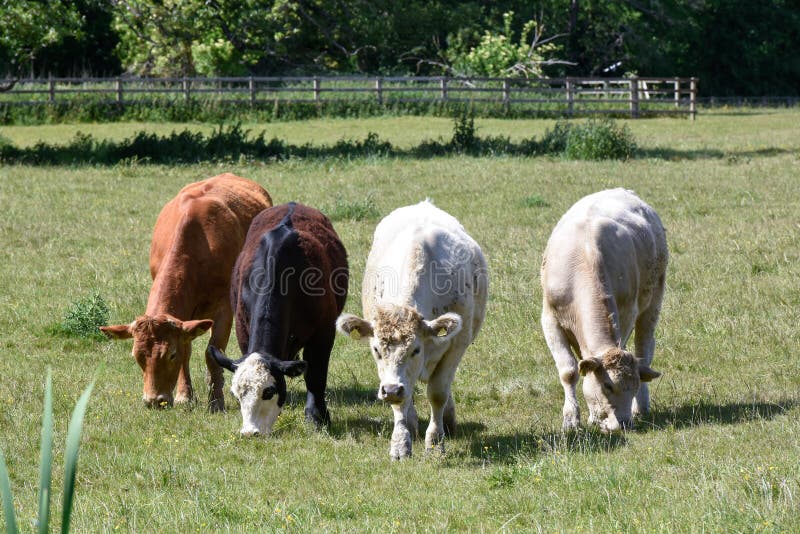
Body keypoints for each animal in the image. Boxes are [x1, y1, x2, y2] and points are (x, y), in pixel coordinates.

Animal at [100, 173, 272, 411]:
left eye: (171, 355)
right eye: (137, 356)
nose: (155, 401)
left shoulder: (224, 308)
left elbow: (212, 353)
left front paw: (216, 401)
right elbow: (188, 350)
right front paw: (185, 395)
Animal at [207, 202, 348, 436]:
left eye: (268, 391)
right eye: (236, 393)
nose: (250, 432)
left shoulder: (323, 333)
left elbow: (316, 376)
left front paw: (317, 417)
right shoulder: (242, 328)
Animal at [336, 200, 488, 459]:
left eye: (415, 350)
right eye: (376, 350)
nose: (390, 389)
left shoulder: (457, 344)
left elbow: (438, 393)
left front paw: (435, 443)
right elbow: (402, 402)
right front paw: (400, 442)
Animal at [540, 188, 667, 433]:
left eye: (634, 386)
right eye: (608, 385)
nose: (624, 423)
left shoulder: (627, 312)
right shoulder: (550, 319)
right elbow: (569, 371)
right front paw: (572, 419)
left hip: (653, 300)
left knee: (644, 348)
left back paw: (641, 407)